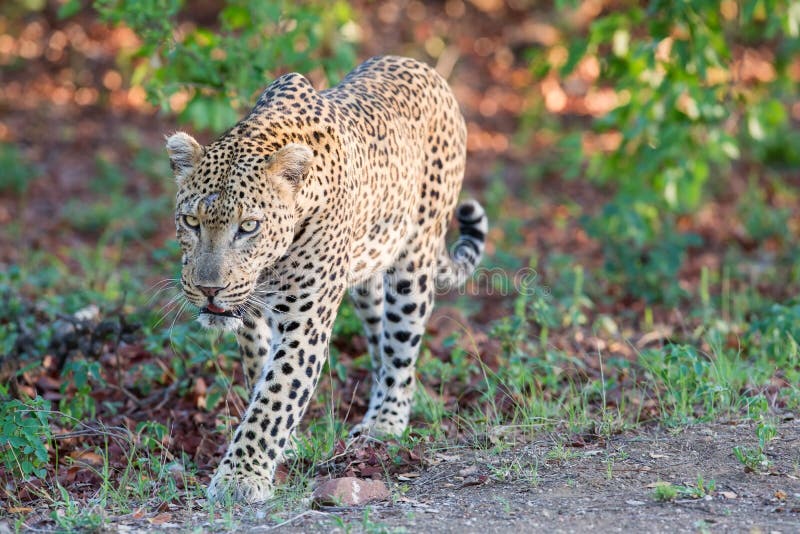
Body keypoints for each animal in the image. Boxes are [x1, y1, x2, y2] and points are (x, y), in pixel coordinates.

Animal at [165, 55, 487, 503]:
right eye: (191, 222)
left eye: (248, 227)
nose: (209, 289)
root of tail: (423, 67)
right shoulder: (250, 317)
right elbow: (262, 373)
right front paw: (284, 448)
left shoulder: (307, 319)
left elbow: (276, 396)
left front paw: (240, 478)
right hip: (367, 277)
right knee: (380, 338)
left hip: (414, 259)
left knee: (401, 346)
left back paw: (385, 421)